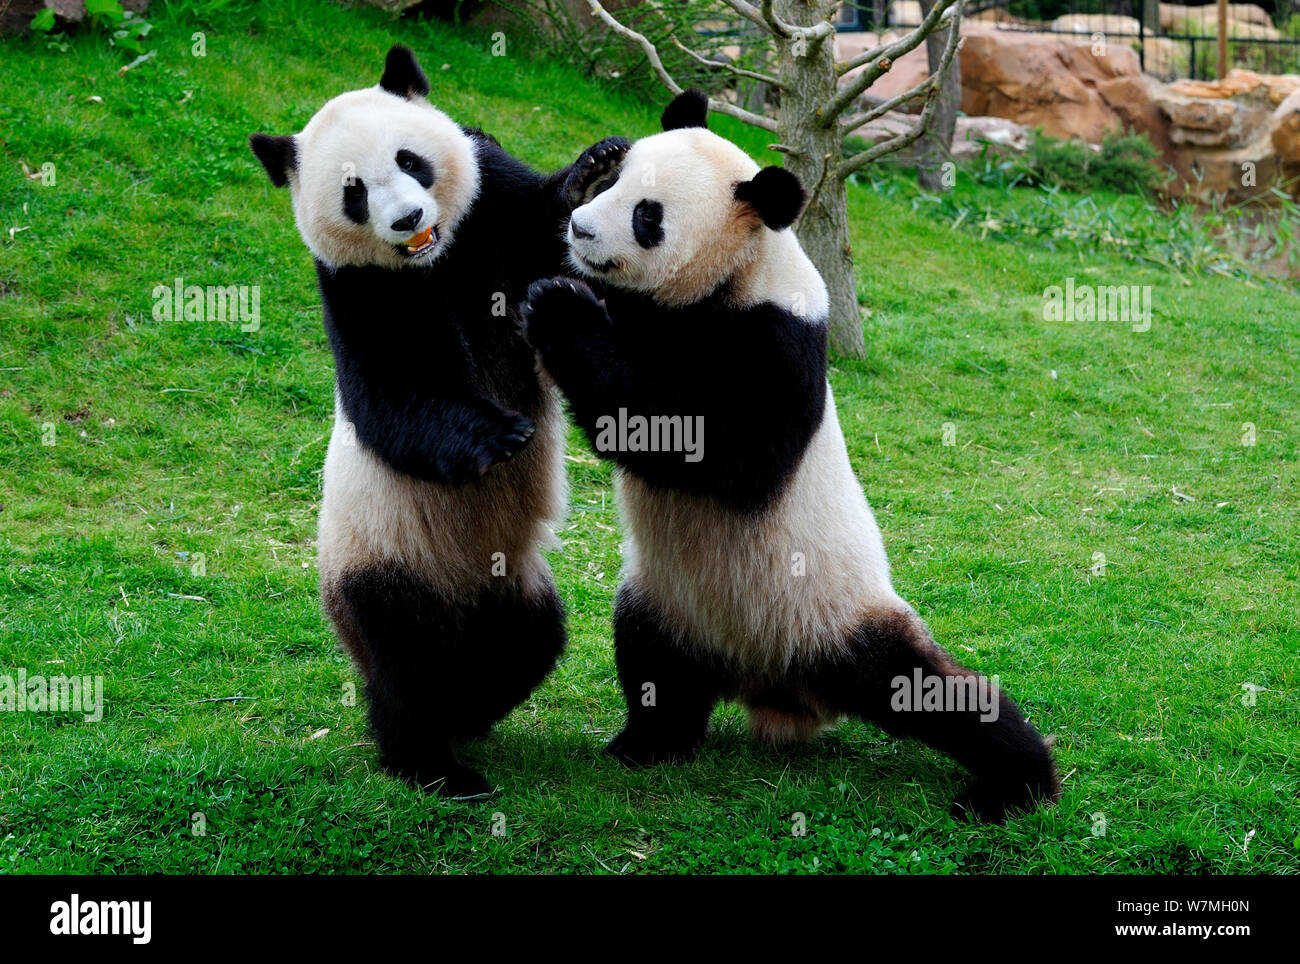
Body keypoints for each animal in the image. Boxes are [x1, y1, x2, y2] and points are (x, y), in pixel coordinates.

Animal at [248, 46, 626, 799]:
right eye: (354, 192)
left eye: (411, 160)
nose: (407, 219)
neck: (438, 258)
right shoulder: (359, 285)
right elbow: (395, 395)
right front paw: (501, 435)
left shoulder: (492, 200)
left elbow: (547, 232)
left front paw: (595, 171)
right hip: (381, 556)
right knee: (407, 659)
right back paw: (430, 761)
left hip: (512, 584)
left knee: (527, 641)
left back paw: (468, 715)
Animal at [521, 89, 1061, 822]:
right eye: (616, 183)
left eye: (647, 216)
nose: (580, 229)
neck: (729, 275)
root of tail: (776, 683)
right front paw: (579, 175)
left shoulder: (778, 337)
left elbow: (728, 457)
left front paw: (560, 310)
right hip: (668, 599)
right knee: (653, 665)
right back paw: (646, 744)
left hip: (837, 613)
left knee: (934, 691)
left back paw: (1016, 783)